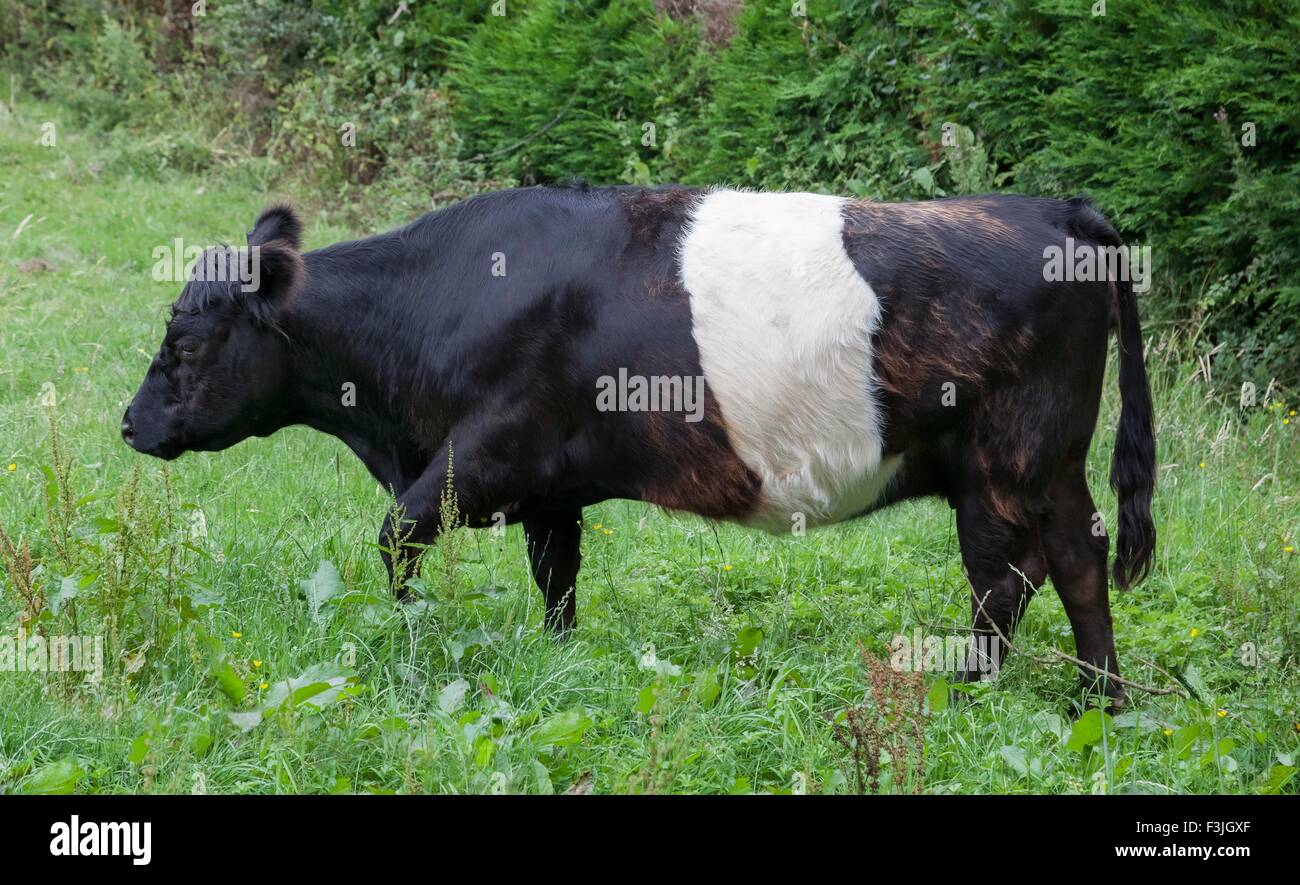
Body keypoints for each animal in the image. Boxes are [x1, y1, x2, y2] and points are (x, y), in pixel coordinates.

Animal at [123, 186, 1155, 705]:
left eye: (186, 342)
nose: (131, 423)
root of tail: (1058, 211)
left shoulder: (480, 452)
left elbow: (397, 536)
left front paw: (407, 634)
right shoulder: (547, 486)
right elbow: (556, 578)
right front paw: (558, 656)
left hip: (1011, 460)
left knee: (1025, 572)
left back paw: (1014, 693)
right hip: (1035, 466)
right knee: (1054, 564)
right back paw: (1070, 692)